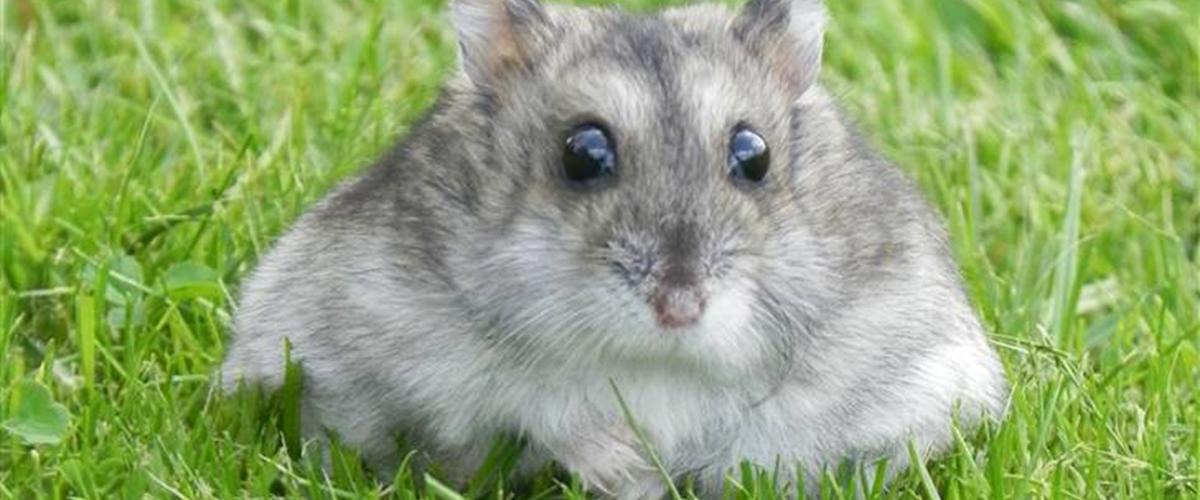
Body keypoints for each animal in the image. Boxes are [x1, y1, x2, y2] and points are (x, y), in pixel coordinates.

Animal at [221, 0, 1008, 497]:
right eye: (583, 152)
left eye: (753, 155)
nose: (680, 306)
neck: (655, 362)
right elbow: (539, 409)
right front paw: (621, 463)